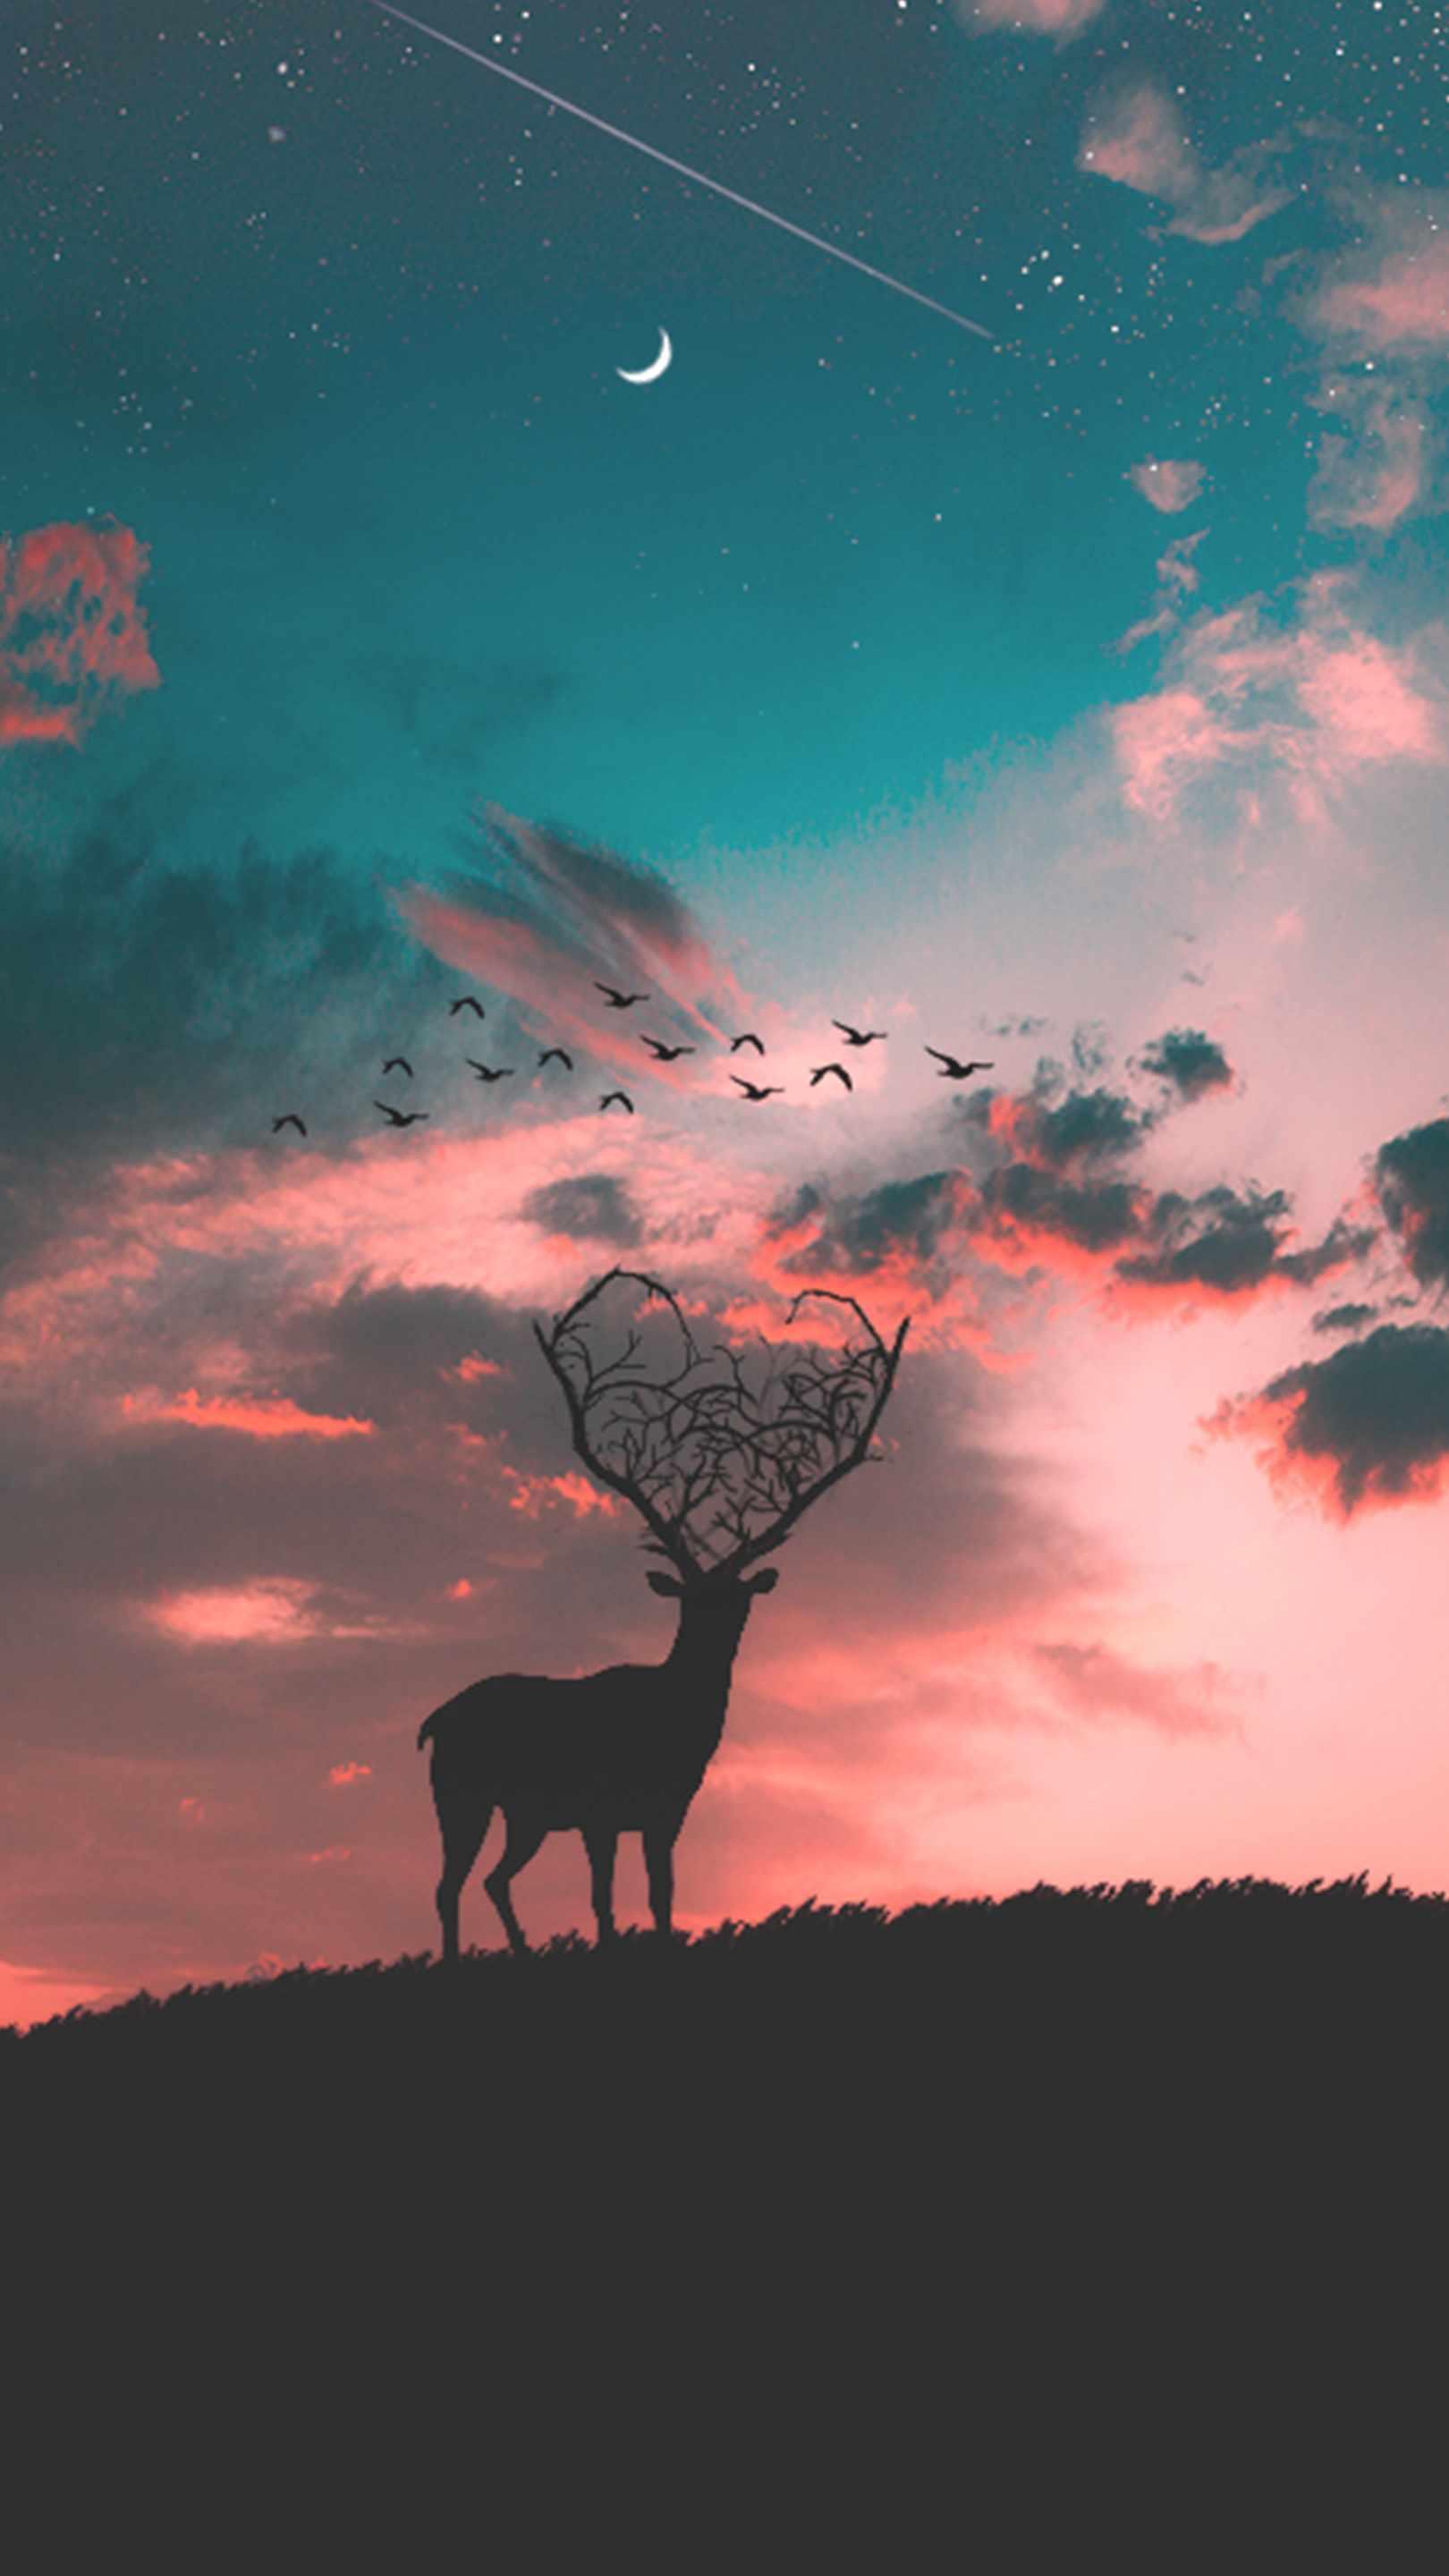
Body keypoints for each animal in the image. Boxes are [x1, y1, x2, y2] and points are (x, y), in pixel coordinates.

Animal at [418, 1267, 908, 1960]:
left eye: (736, 1599)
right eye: (690, 1599)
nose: (717, 1630)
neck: (676, 1731)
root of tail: (433, 1720)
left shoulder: (667, 1812)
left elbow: (662, 1898)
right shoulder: (599, 1808)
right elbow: (602, 1904)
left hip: (525, 1815)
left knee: (491, 1880)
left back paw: (519, 1950)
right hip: (462, 1791)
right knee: (449, 1885)